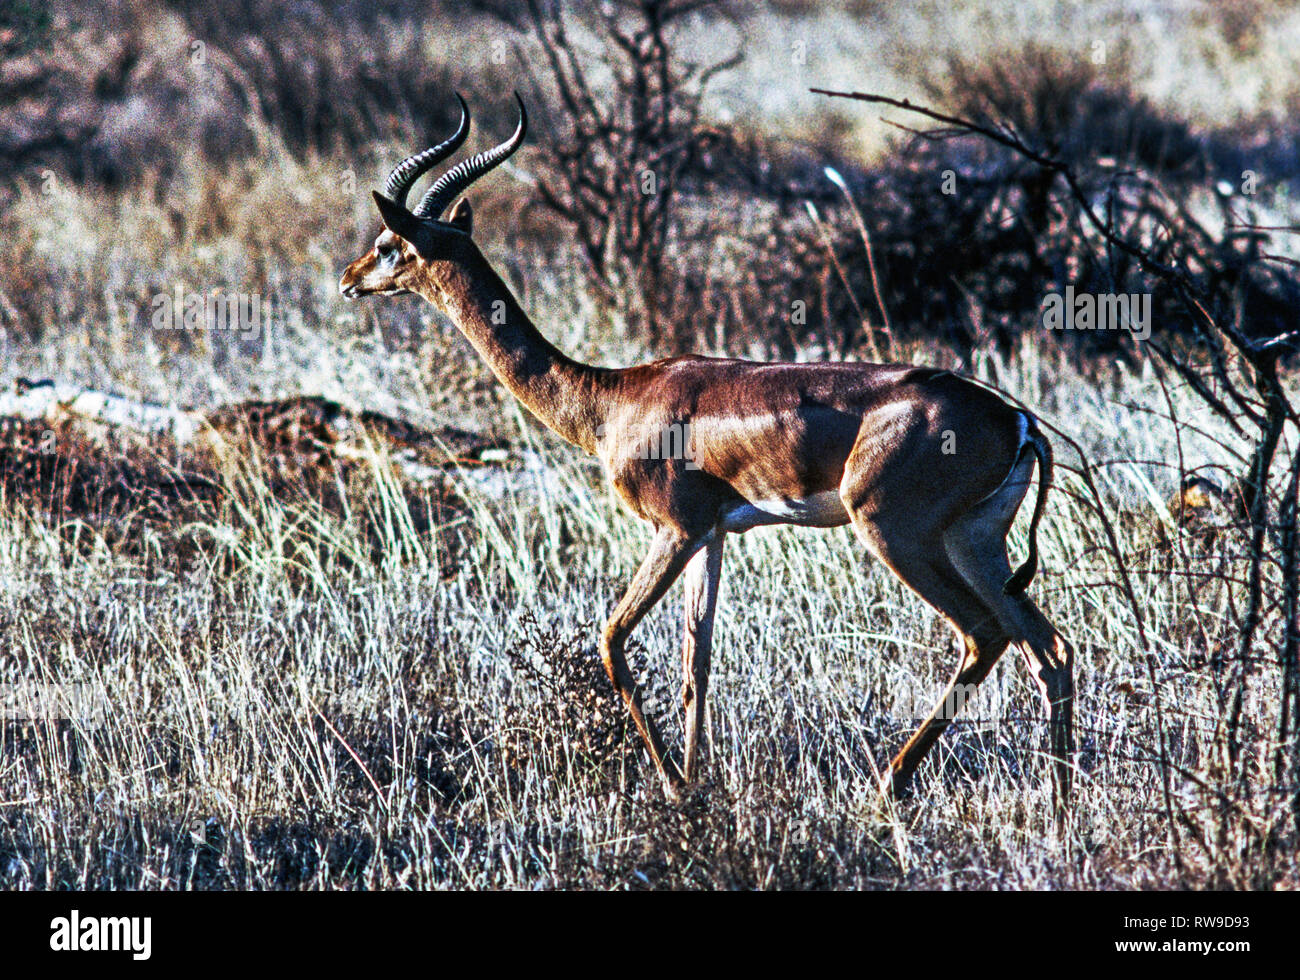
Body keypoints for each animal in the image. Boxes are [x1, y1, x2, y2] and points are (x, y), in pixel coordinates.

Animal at [339, 95, 1076, 808]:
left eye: (386, 243)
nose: (348, 279)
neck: (613, 399)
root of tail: (1016, 420)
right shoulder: (714, 535)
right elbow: (698, 656)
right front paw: (697, 783)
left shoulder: (675, 528)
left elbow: (612, 640)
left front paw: (672, 785)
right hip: (974, 541)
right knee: (1050, 650)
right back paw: (1062, 807)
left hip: (897, 533)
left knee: (984, 634)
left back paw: (887, 787)